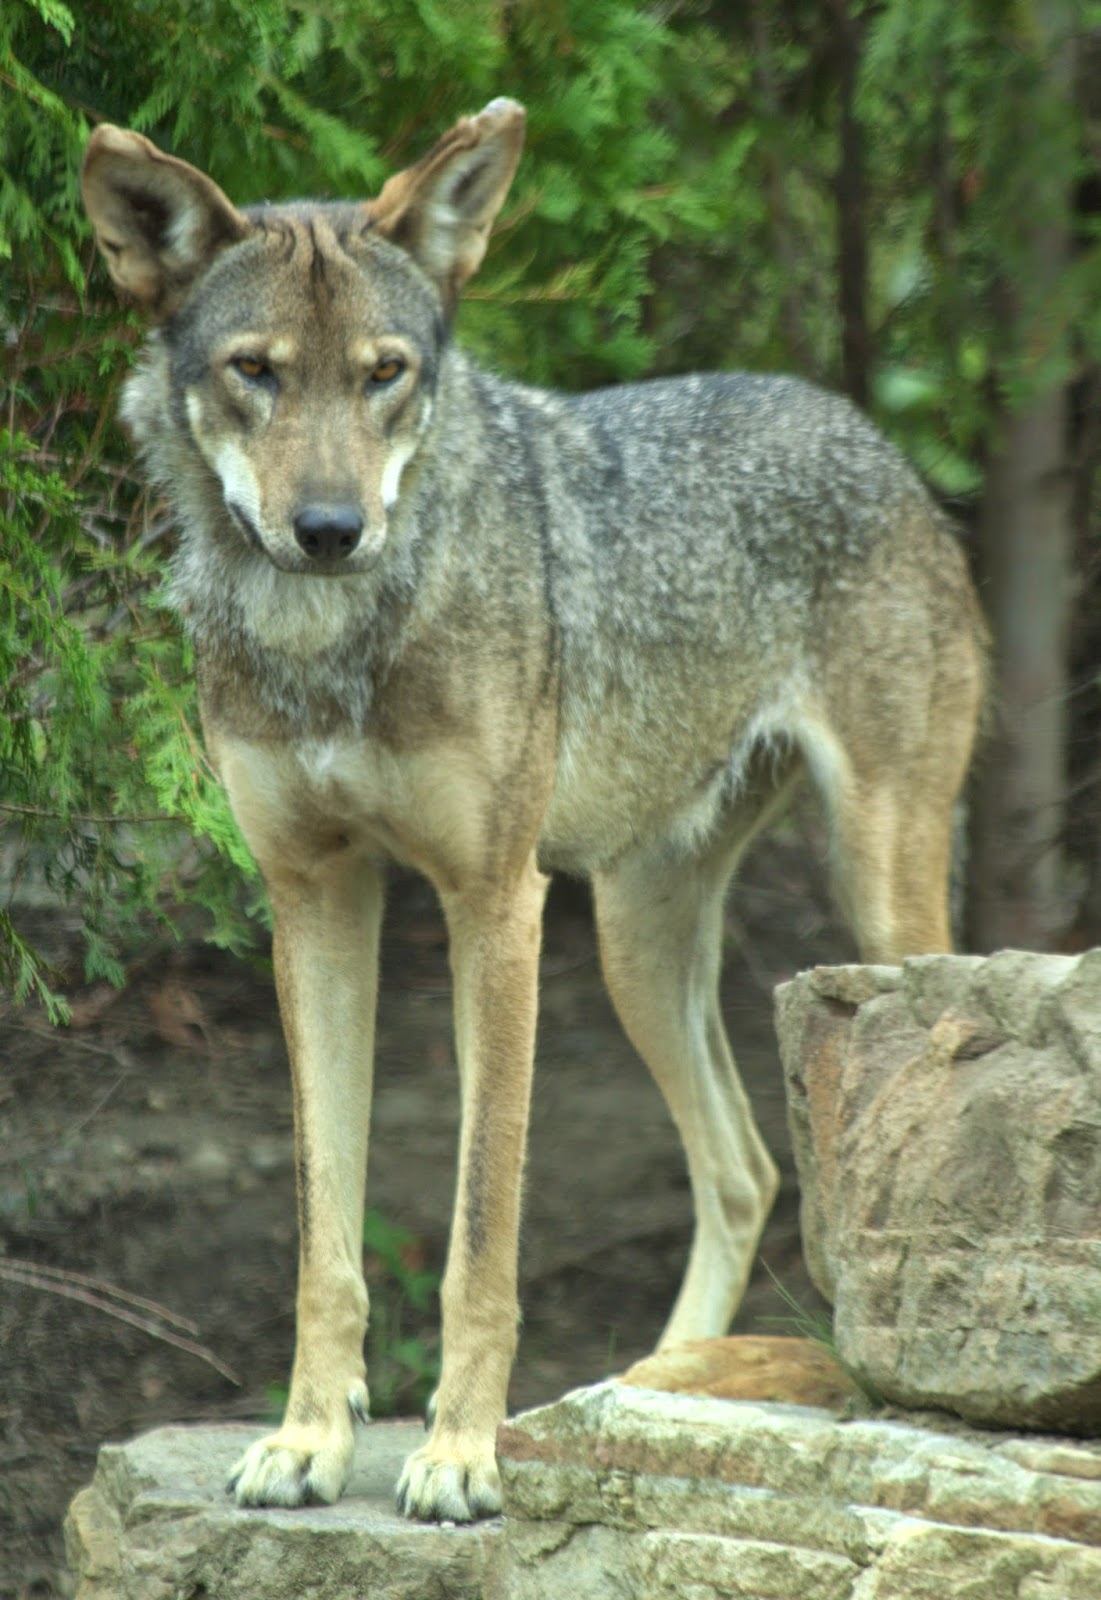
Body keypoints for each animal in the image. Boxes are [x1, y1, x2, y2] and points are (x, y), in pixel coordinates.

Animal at [81, 98, 985, 1523]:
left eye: (385, 373)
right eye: (256, 371)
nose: (328, 527)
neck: (335, 640)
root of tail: (866, 430)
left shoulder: (494, 906)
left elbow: (477, 1238)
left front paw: (460, 1454)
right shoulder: (316, 901)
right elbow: (324, 1238)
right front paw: (308, 1437)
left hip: (875, 898)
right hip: (632, 944)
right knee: (745, 1168)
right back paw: (651, 1390)